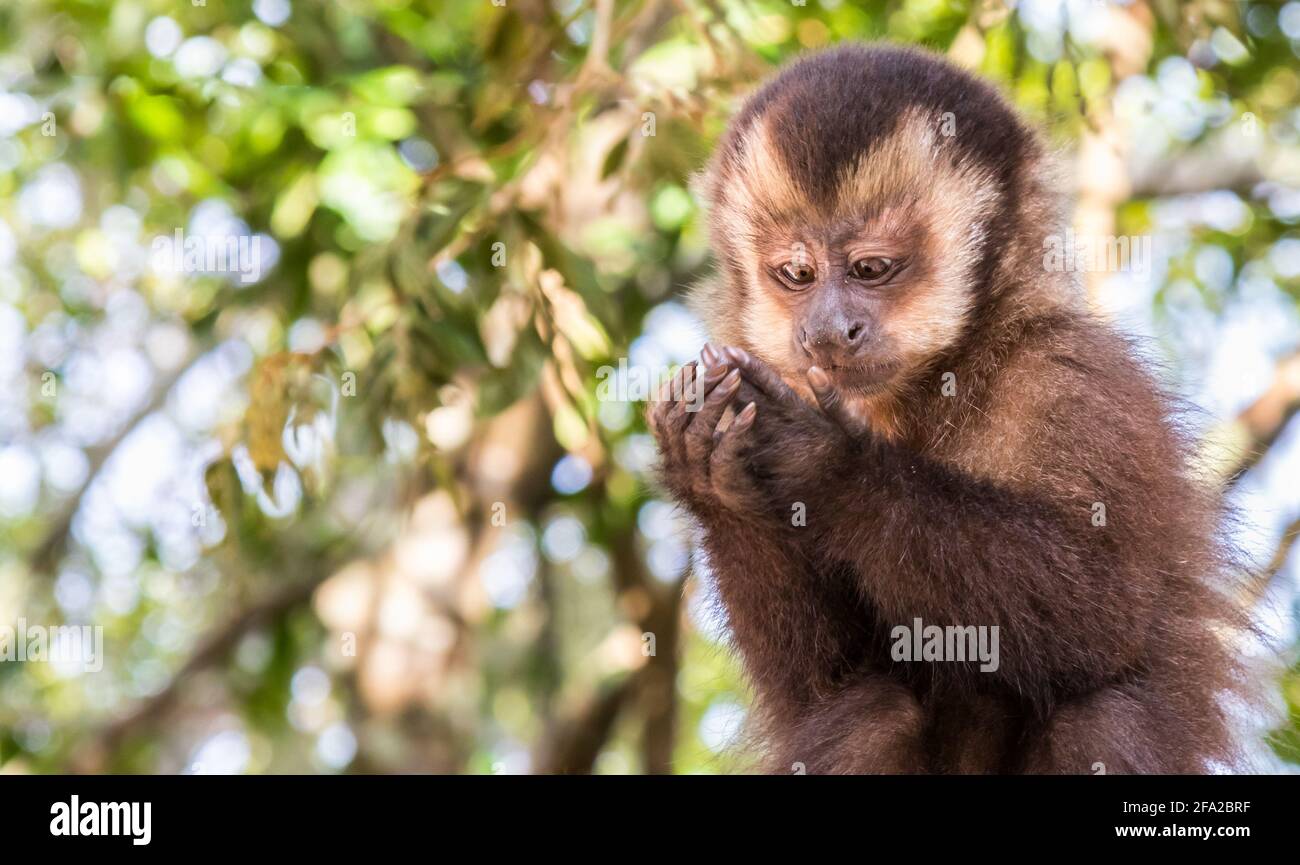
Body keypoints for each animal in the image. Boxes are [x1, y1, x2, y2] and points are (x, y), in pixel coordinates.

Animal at [647, 45, 1253, 774]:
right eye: (796, 275)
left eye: (870, 269)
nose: (828, 332)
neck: (937, 386)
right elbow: (818, 685)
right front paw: (715, 479)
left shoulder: (1076, 379)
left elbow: (1105, 612)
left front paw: (828, 461)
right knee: (869, 713)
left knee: (1103, 716)